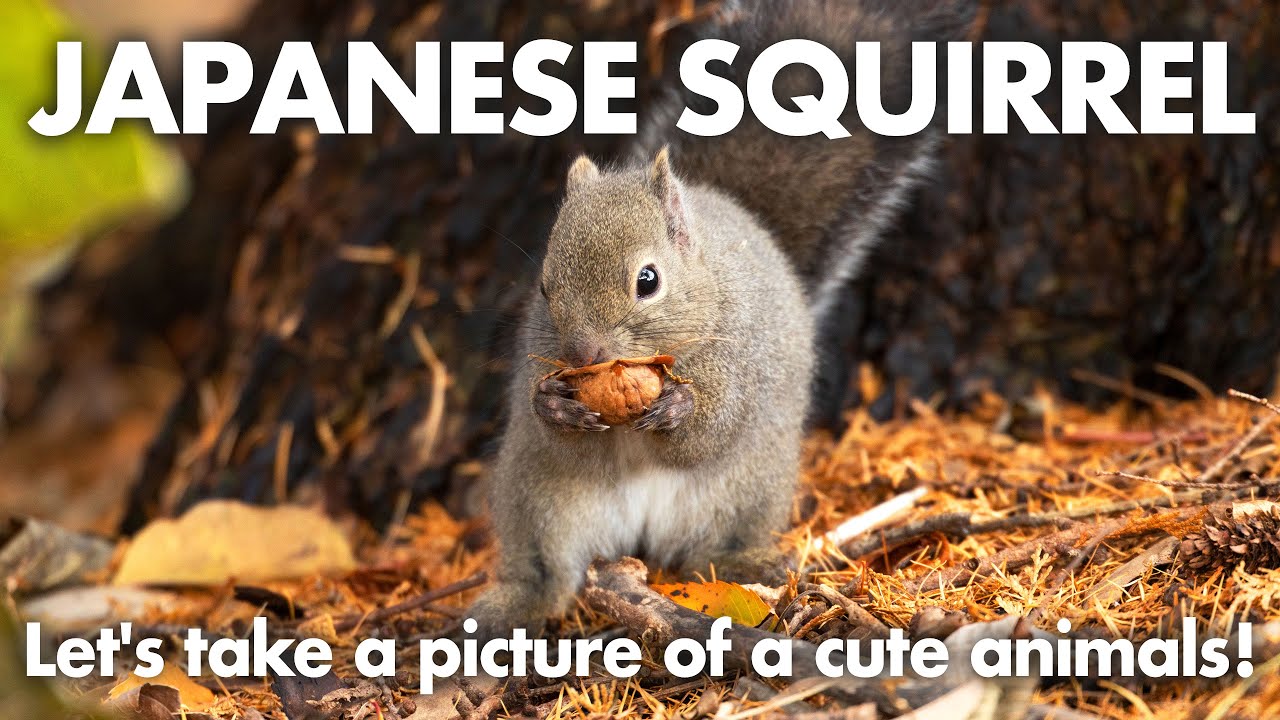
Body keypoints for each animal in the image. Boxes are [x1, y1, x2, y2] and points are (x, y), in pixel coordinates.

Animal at [470, 0, 974, 633]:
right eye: (544, 285)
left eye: (648, 281)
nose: (584, 354)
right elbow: (557, 431)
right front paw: (554, 404)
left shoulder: (740, 359)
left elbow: (713, 427)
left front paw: (680, 408)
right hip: (539, 498)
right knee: (548, 567)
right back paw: (515, 604)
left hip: (744, 491)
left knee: (713, 547)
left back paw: (748, 566)